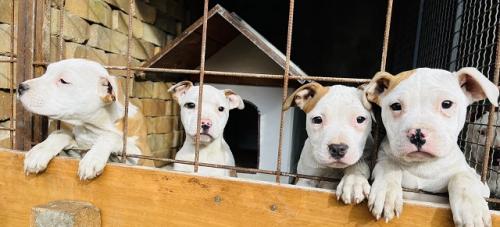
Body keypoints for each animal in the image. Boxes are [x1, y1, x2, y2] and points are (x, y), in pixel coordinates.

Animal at [18, 59, 153, 181]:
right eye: (46, 73)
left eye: (63, 81)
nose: (20, 87)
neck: (92, 127)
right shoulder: (77, 149)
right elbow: (60, 133)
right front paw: (39, 151)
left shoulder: (138, 157)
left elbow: (111, 136)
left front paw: (92, 158)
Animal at [366, 66, 498, 226]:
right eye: (396, 106)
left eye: (446, 104)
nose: (417, 134)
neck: (423, 165)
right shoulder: (383, 157)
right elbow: (388, 166)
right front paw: (386, 192)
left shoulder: (481, 184)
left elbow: (462, 176)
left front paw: (472, 209)